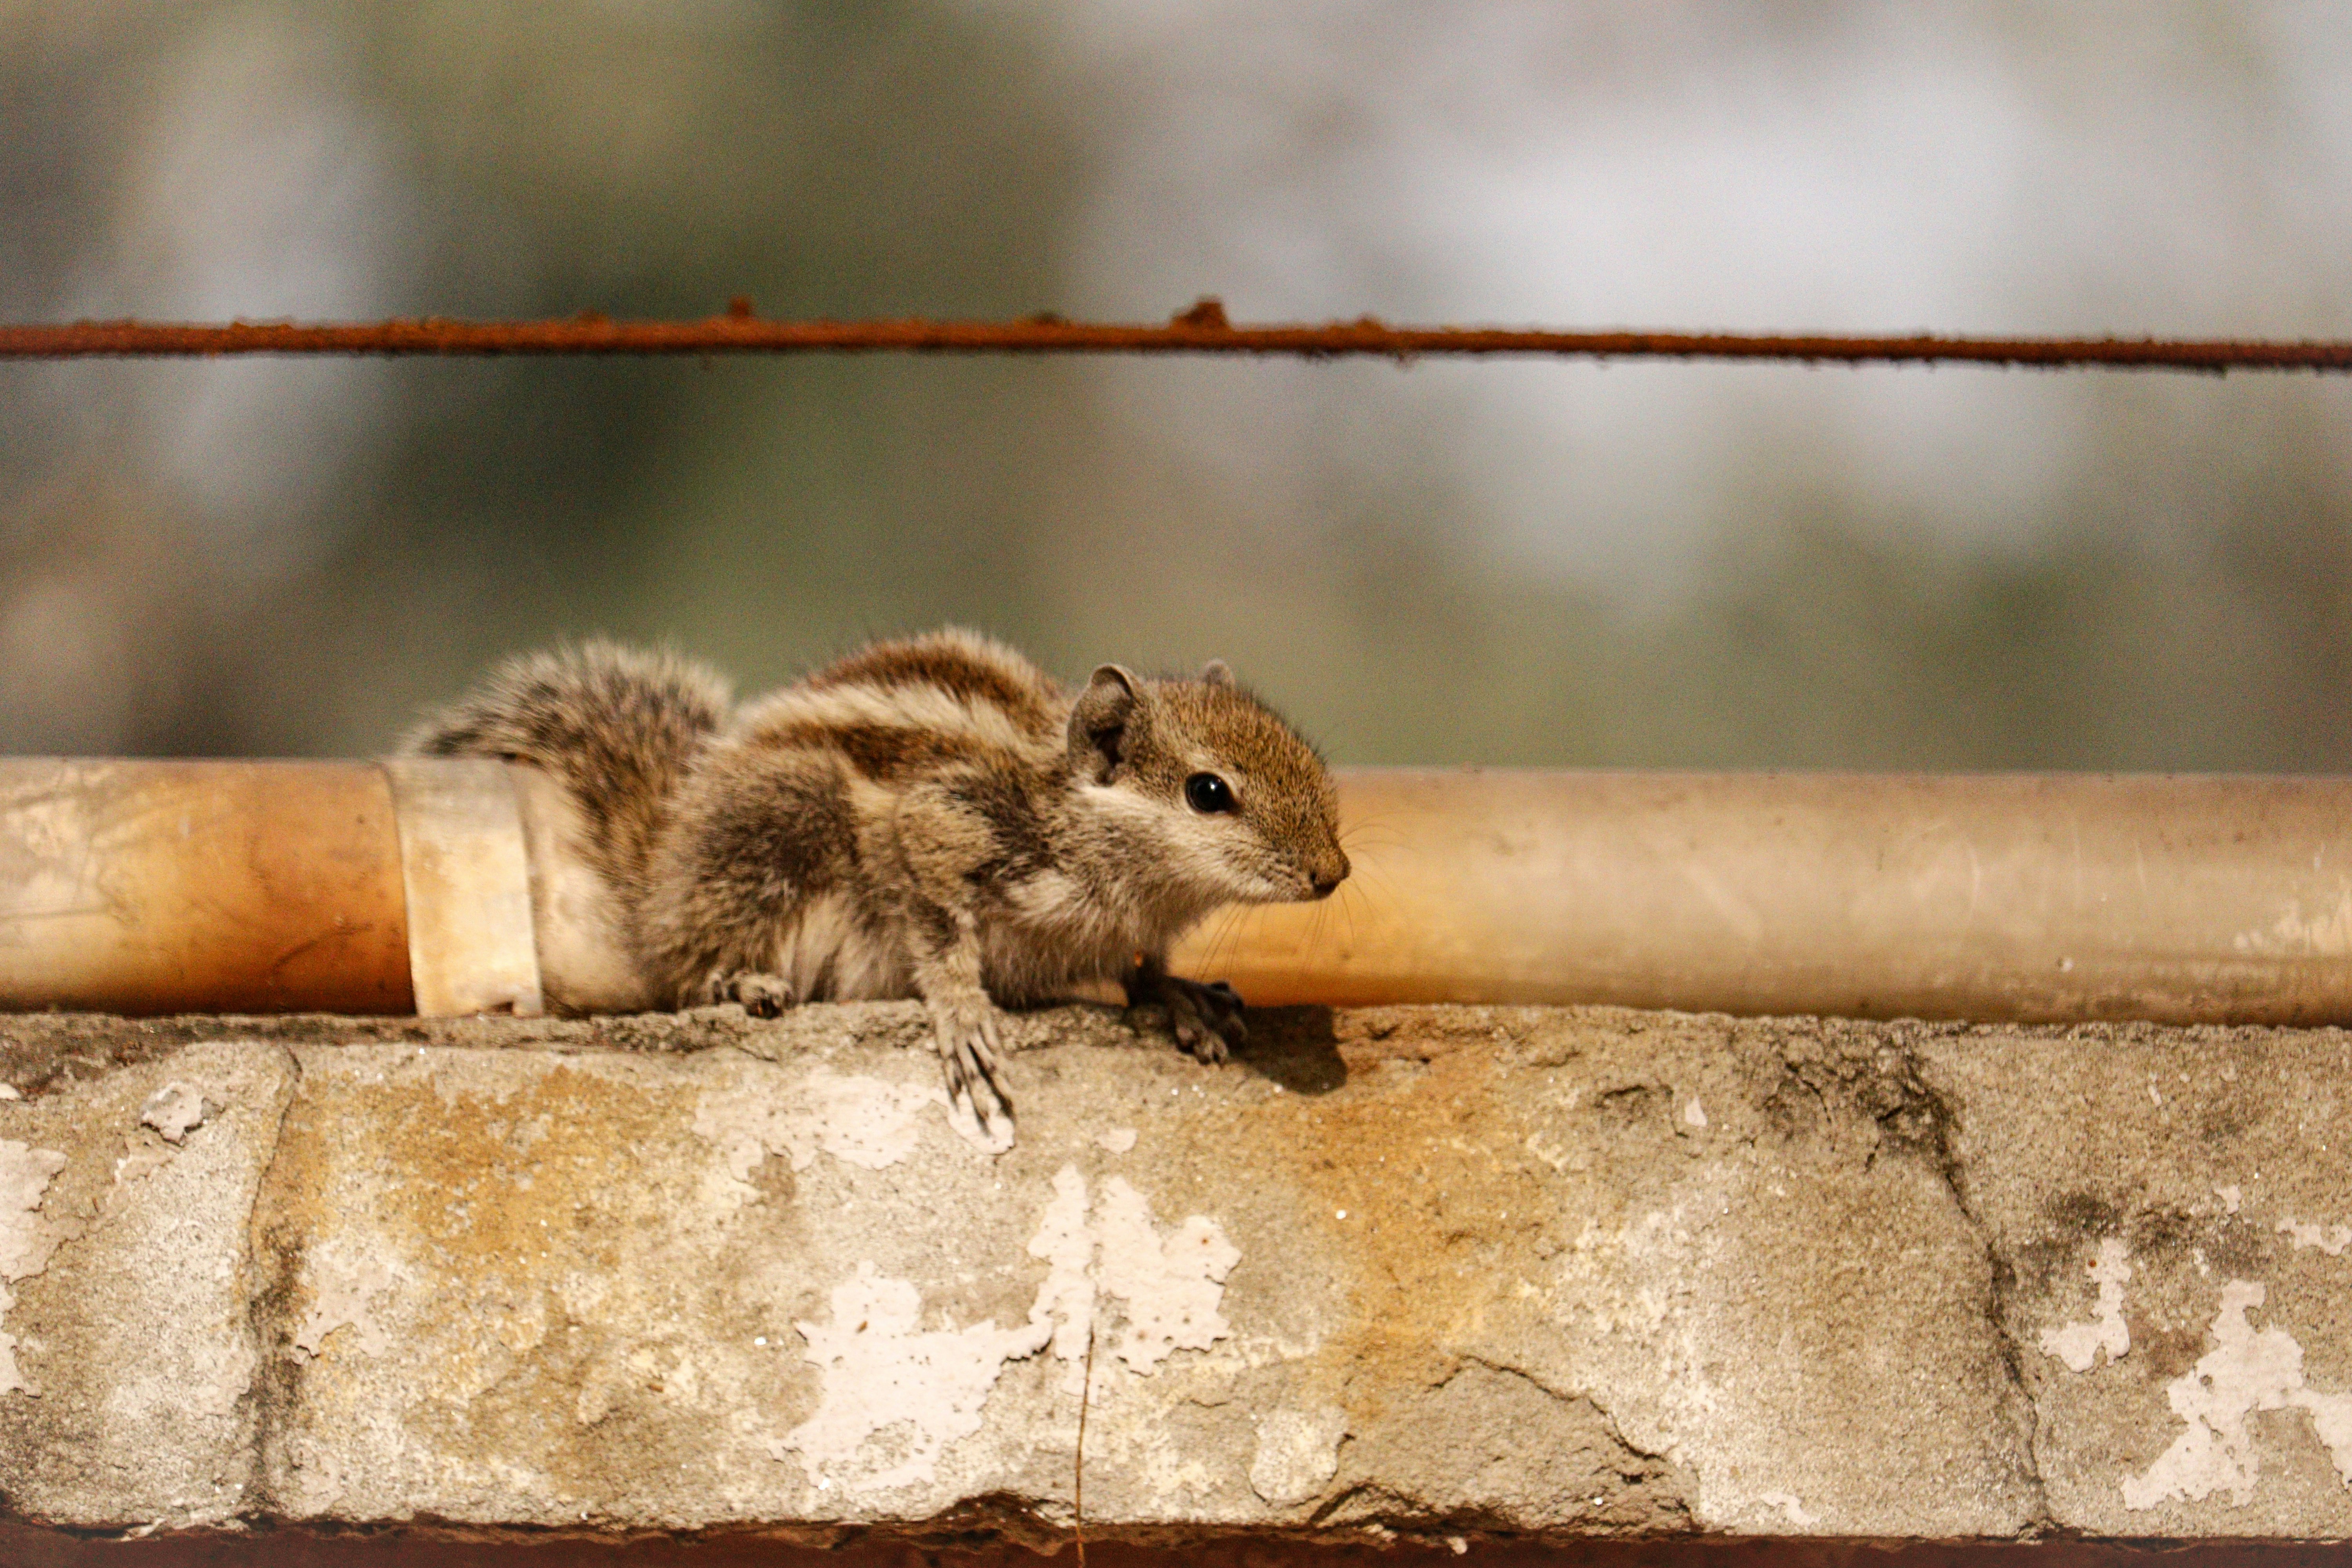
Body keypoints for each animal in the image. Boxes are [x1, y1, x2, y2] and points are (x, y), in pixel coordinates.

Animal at [403, 628, 1350, 1147]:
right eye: (1208, 792)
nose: (1333, 873)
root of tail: (658, 869)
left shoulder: (1130, 926)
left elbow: (1144, 966)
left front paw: (1181, 996)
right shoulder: (942, 823)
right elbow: (934, 921)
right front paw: (964, 1012)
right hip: (782, 822)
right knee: (685, 966)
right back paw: (737, 980)